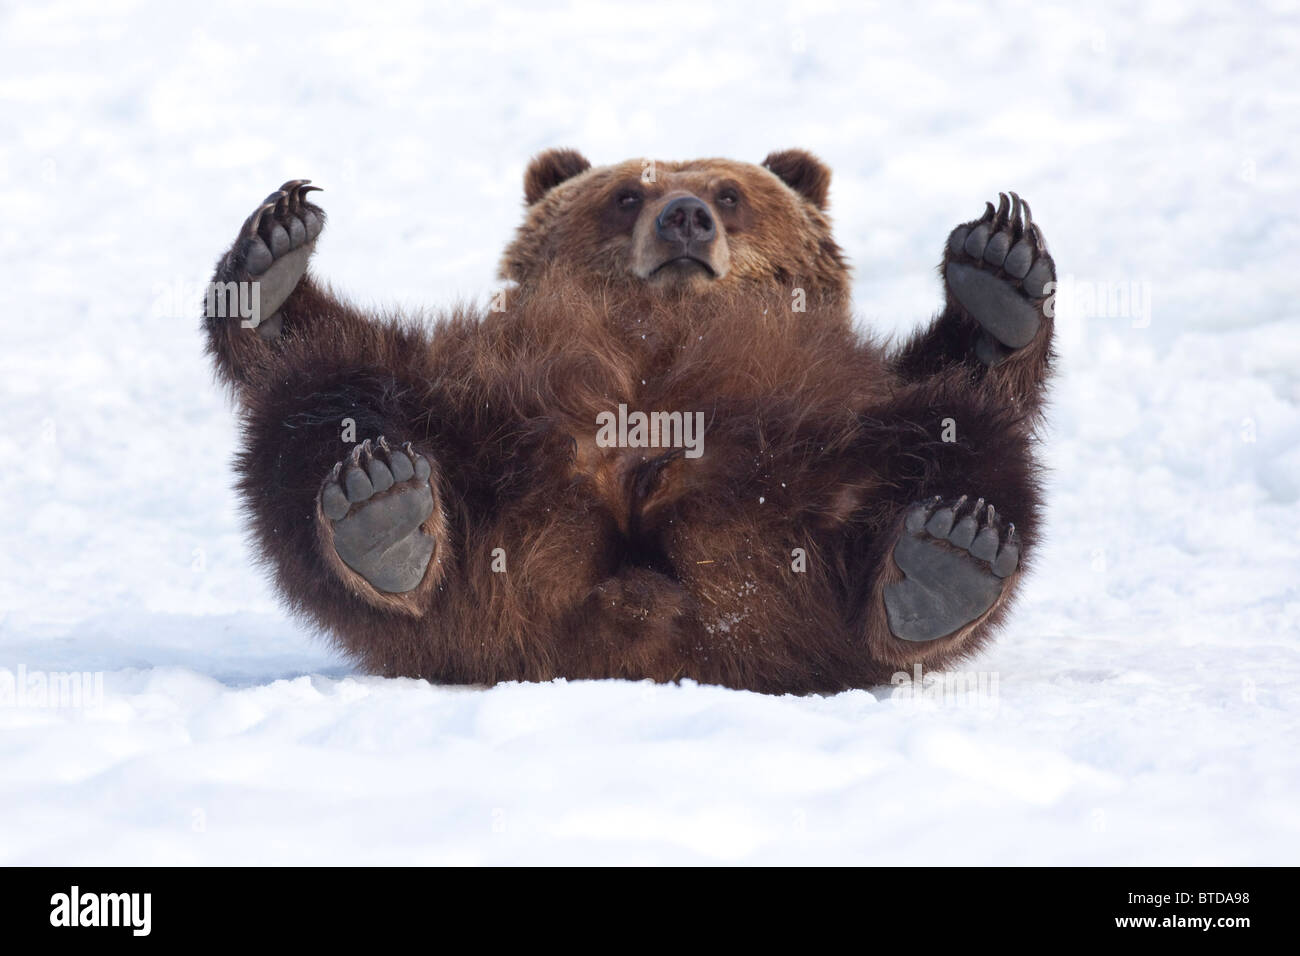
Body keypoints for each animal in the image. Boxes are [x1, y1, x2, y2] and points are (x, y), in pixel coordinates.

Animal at [202, 149, 1056, 694]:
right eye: (624, 196)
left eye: (731, 192)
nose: (686, 217)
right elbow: (334, 376)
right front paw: (272, 263)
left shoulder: (830, 377)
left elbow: (957, 380)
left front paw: (1000, 276)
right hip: (483, 430)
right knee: (329, 402)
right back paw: (377, 503)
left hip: (810, 453)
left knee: (958, 440)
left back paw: (946, 558)